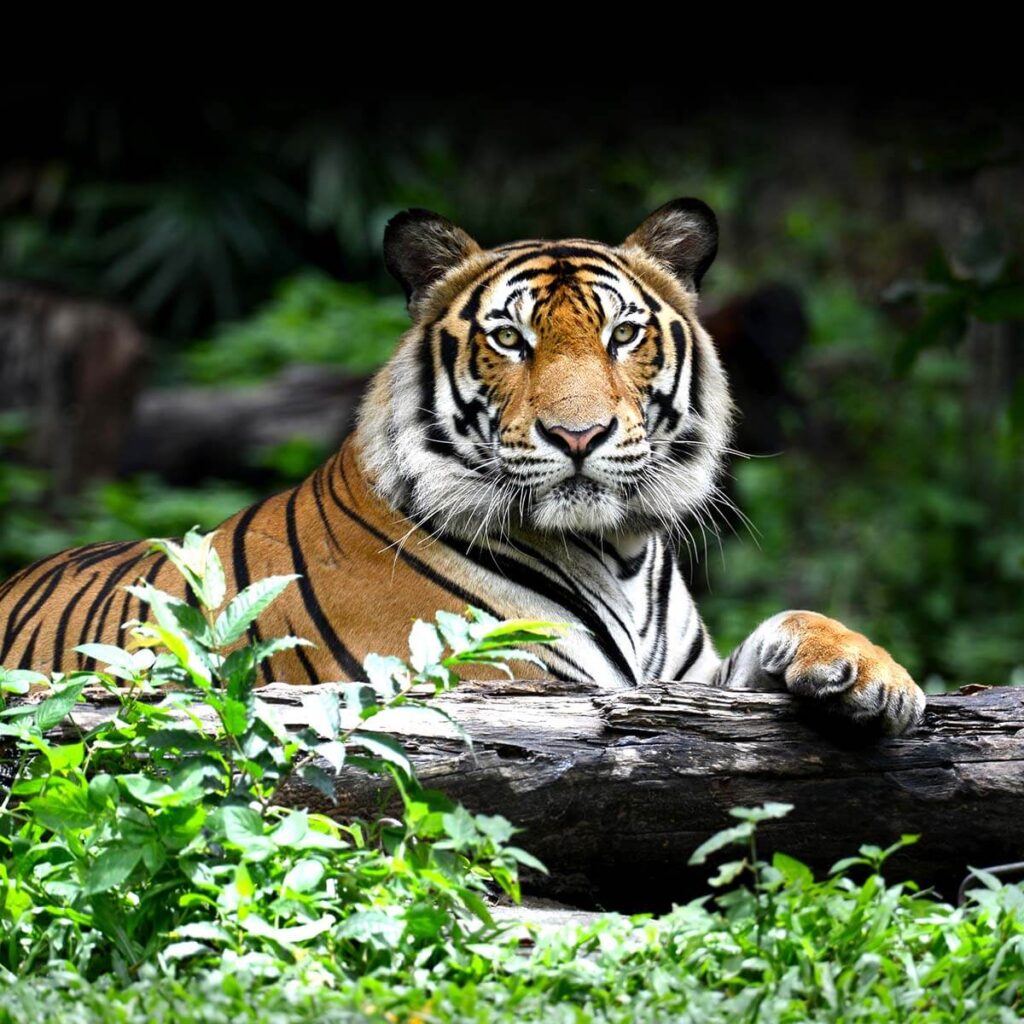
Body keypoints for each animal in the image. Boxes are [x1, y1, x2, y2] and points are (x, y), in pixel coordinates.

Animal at [0, 199, 924, 735]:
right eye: (509, 339)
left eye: (624, 334)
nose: (579, 435)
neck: (619, 552)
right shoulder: (503, 683)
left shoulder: (684, 681)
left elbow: (790, 623)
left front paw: (874, 676)